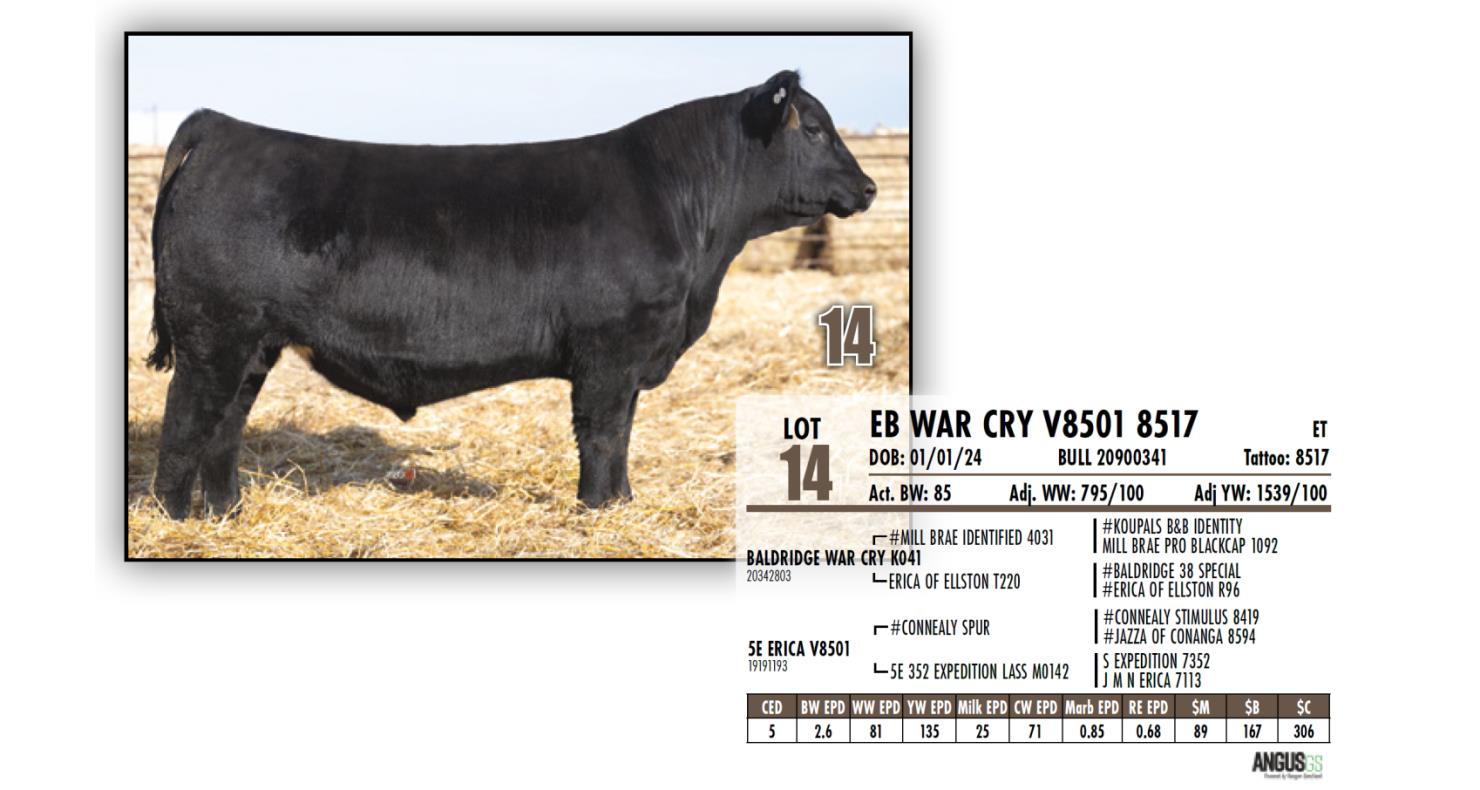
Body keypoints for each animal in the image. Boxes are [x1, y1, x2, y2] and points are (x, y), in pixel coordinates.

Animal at [145, 70, 876, 519]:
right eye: (814, 129)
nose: (868, 187)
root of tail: (222, 126)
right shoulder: (610, 351)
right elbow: (603, 435)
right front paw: (600, 509)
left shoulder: (631, 358)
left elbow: (624, 433)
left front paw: (623, 504)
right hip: (214, 334)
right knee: (185, 422)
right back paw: (179, 520)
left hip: (254, 343)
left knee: (224, 427)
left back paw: (228, 512)